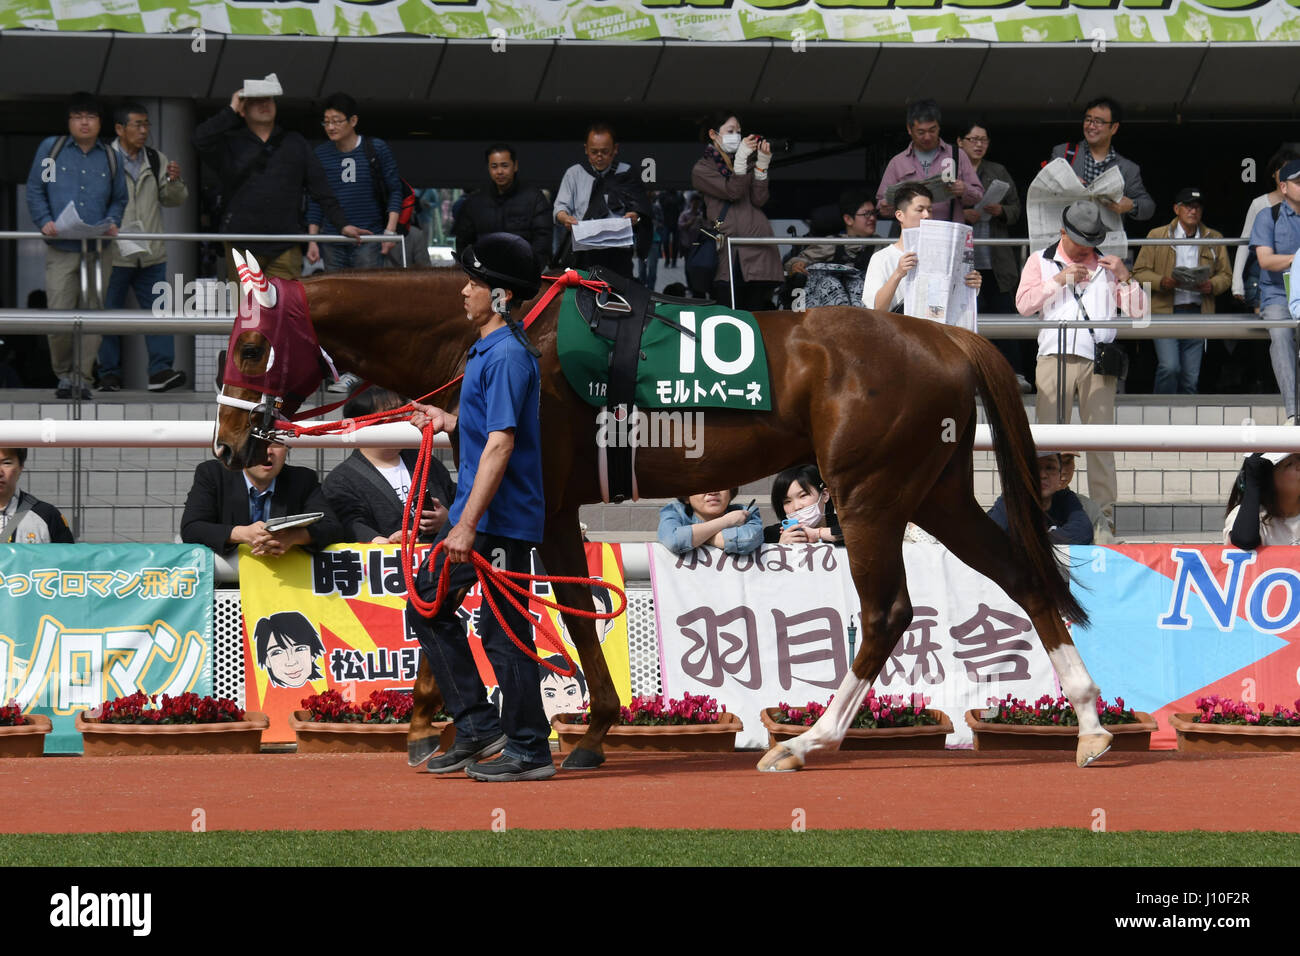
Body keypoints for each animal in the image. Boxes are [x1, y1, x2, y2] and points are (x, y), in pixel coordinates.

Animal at [214, 260, 1115, 772]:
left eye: (251, 349)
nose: (229, 445)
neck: (503, 335)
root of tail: (943, 337)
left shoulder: (543, 498)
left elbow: (561, 606)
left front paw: (584, 732)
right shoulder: (519, 501)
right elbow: (460, 586)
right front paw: (439, 725)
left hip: (869, 496)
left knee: (888, 610)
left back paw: (807, 742)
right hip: (936, 491)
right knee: (1023, 575)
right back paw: (1088, 723)